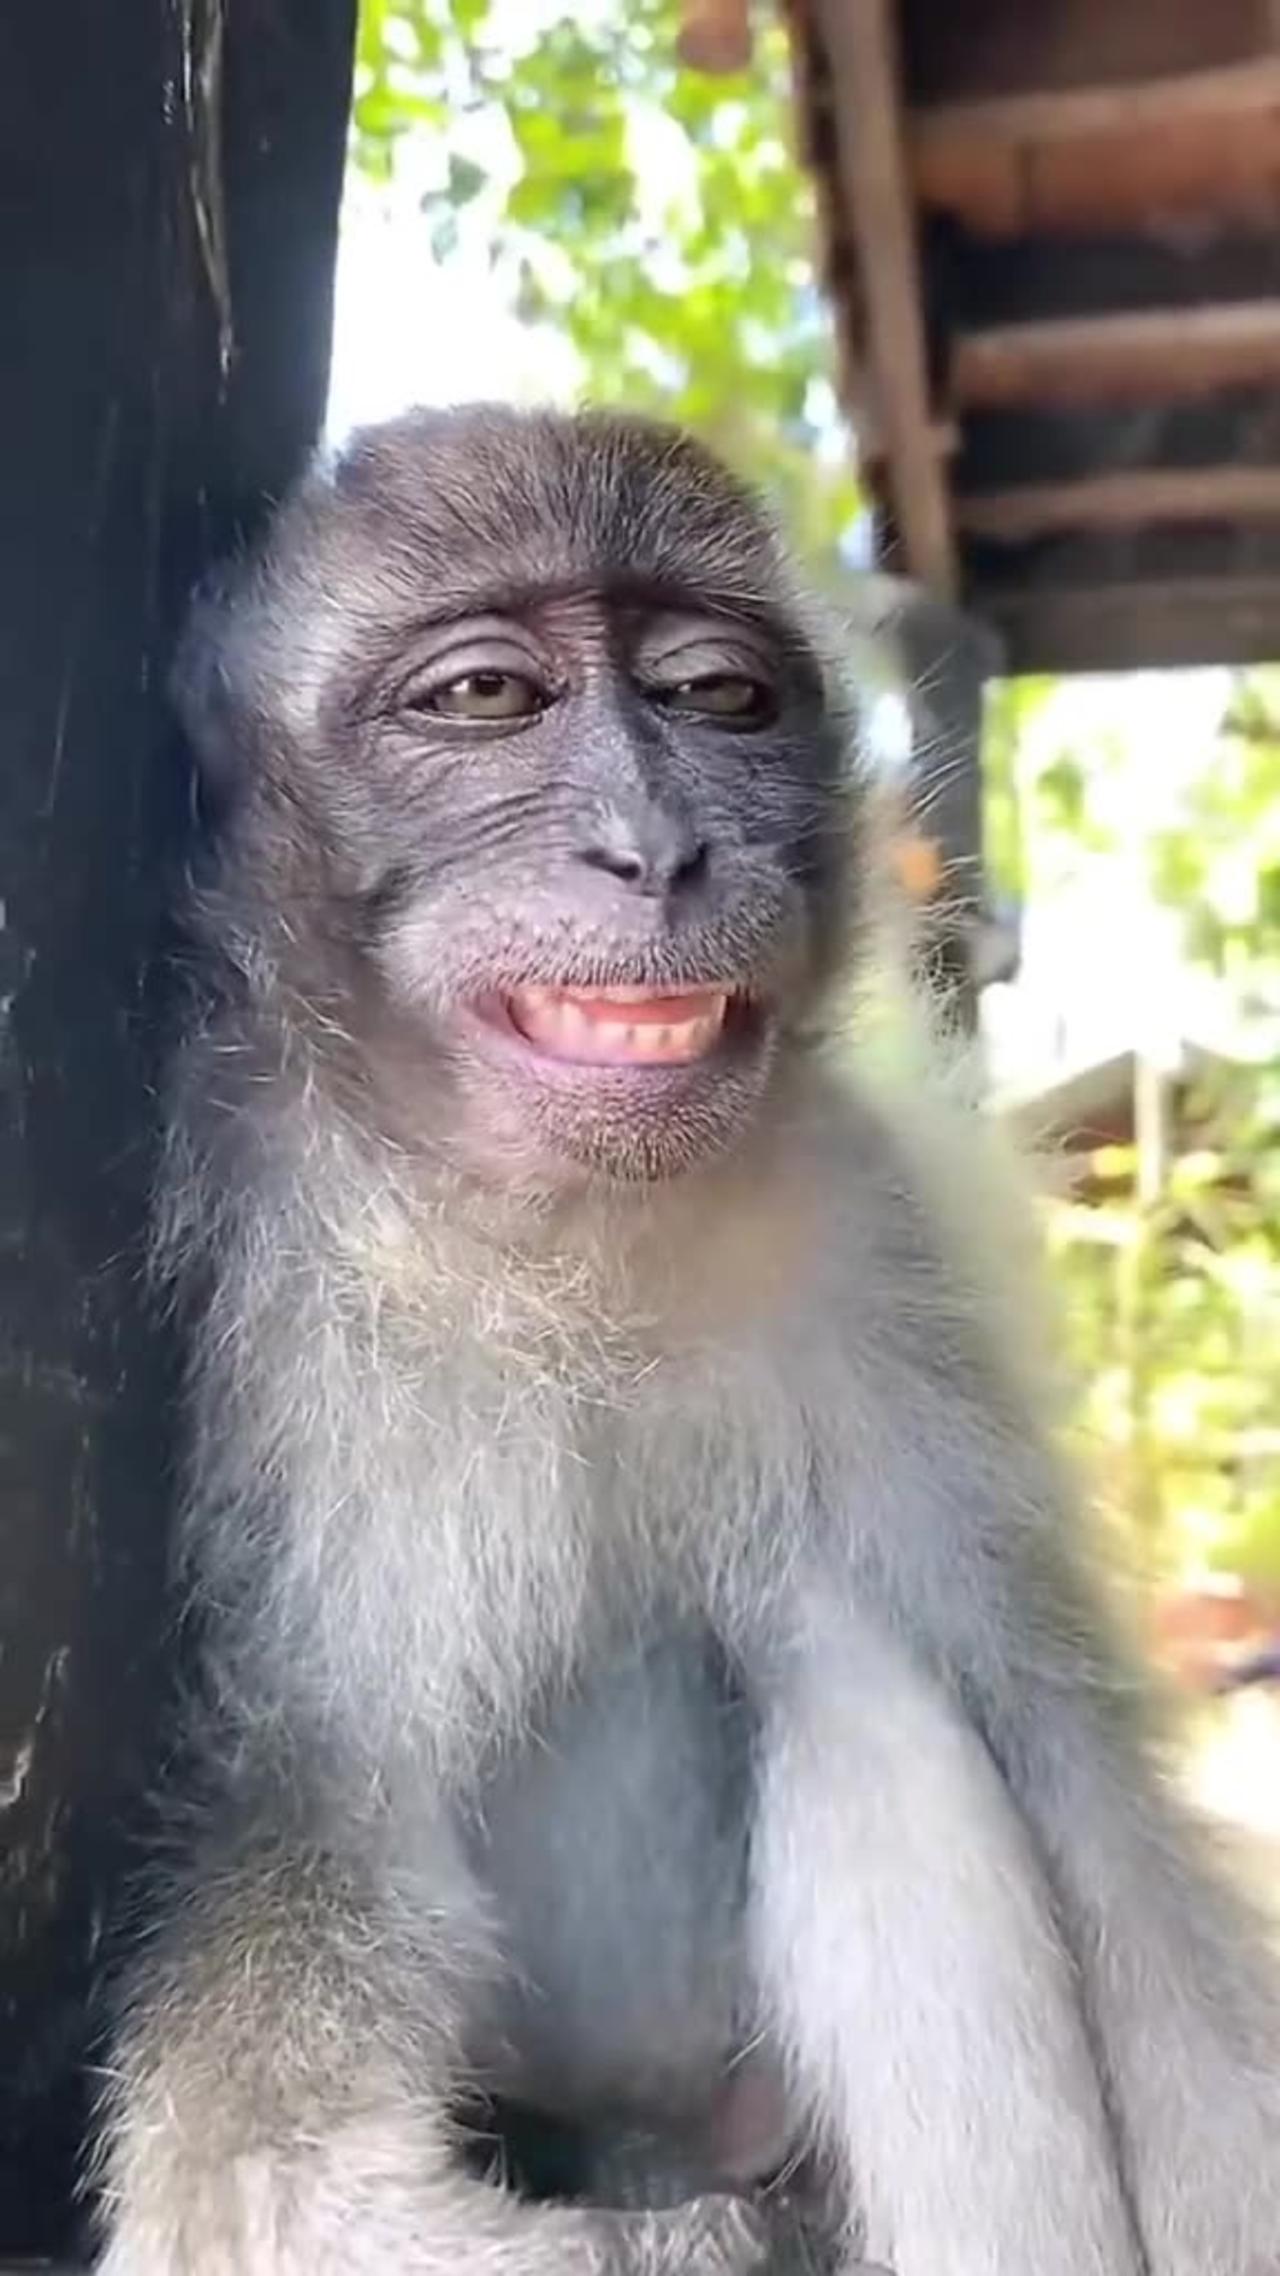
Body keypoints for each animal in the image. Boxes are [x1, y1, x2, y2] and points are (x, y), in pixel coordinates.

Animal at [92, 402, 1280, 2276]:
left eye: (717, 696)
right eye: (485, 698)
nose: (655, 850)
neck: (575, 1239)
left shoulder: (888, 1246)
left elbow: (1093, 1806)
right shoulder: (305, 1341)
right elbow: (271, 2103)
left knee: (859, 1674)